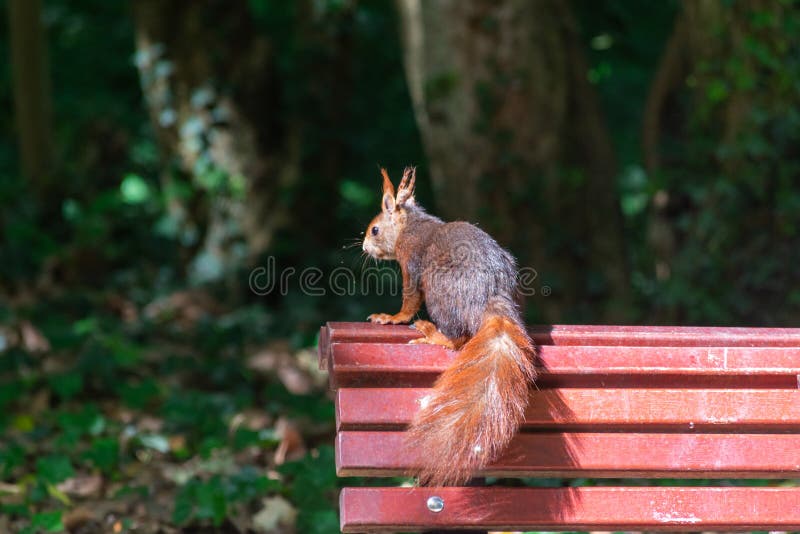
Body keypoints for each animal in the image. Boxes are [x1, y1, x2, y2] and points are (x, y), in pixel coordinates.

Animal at [361, 166, 537, 487]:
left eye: (375, 230)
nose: (365, 246)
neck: (412, 226)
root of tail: (489, 296)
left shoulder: (411, 263)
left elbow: (409, 300)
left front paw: (392, 317)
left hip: (439, 291)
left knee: (458, 339)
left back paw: (433, 335)